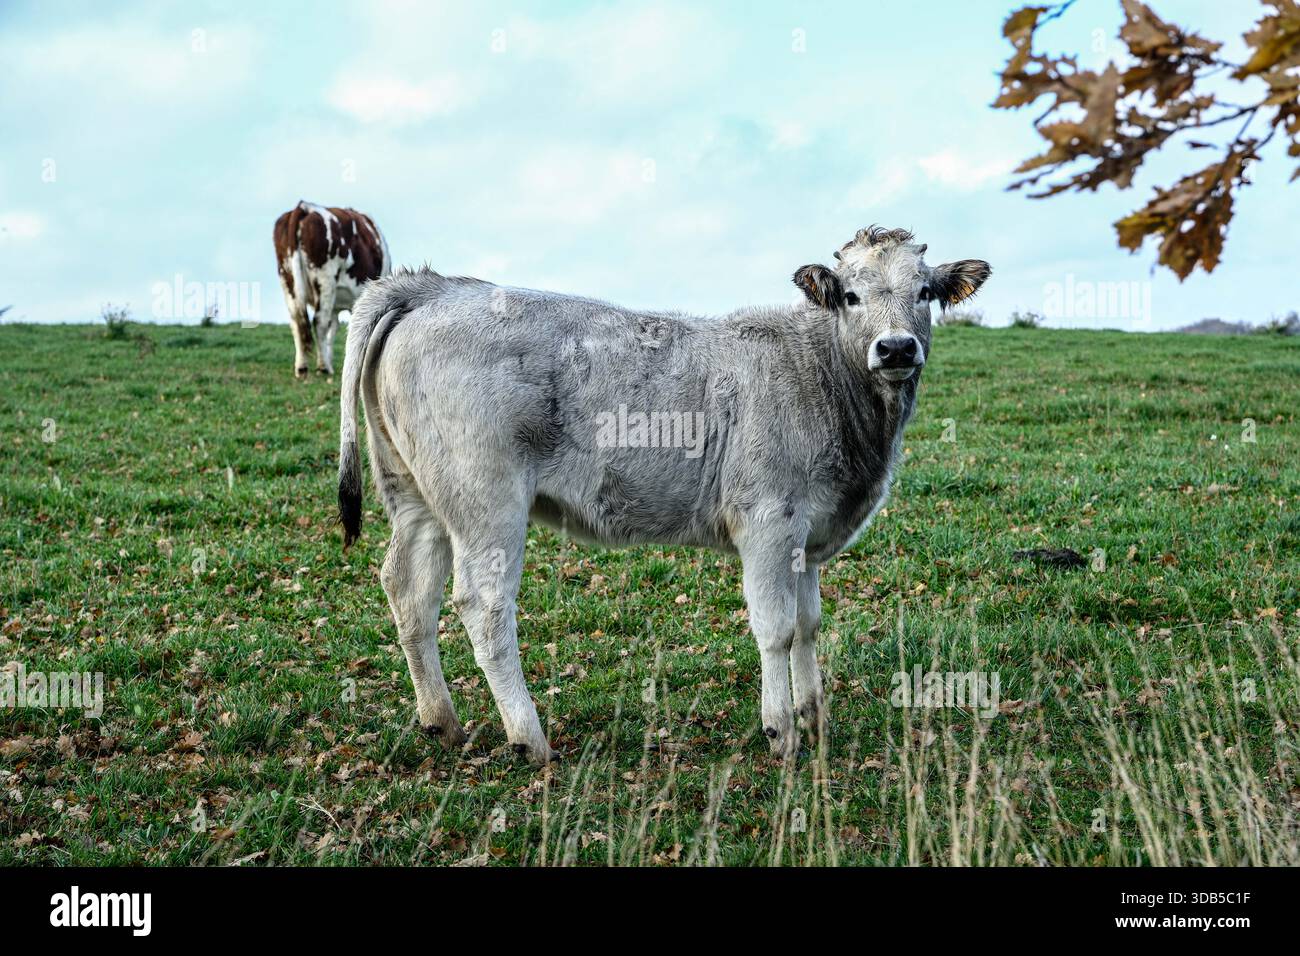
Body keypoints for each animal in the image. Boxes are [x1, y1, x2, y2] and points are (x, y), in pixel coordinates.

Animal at [273, 201, 391, 378]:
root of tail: (305, 207)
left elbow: (333, 327)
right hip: (325, 279)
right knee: (319, 321)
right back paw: (323, 367)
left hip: (287, 279)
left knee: (296, 321)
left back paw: (302, 367)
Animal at [337, 226, 990, 766]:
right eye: (852, 295)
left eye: (925, 292)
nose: (896, 348)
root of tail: (434, 287)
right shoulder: (768, 521)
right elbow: (776, 628)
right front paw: (780, 730)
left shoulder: (808, 534)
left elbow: (808, 625)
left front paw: (814, 717)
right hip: (486, 501)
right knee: (484, 605)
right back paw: (529, 737)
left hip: (417, 496)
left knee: (409, 589)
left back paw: (441, 722)